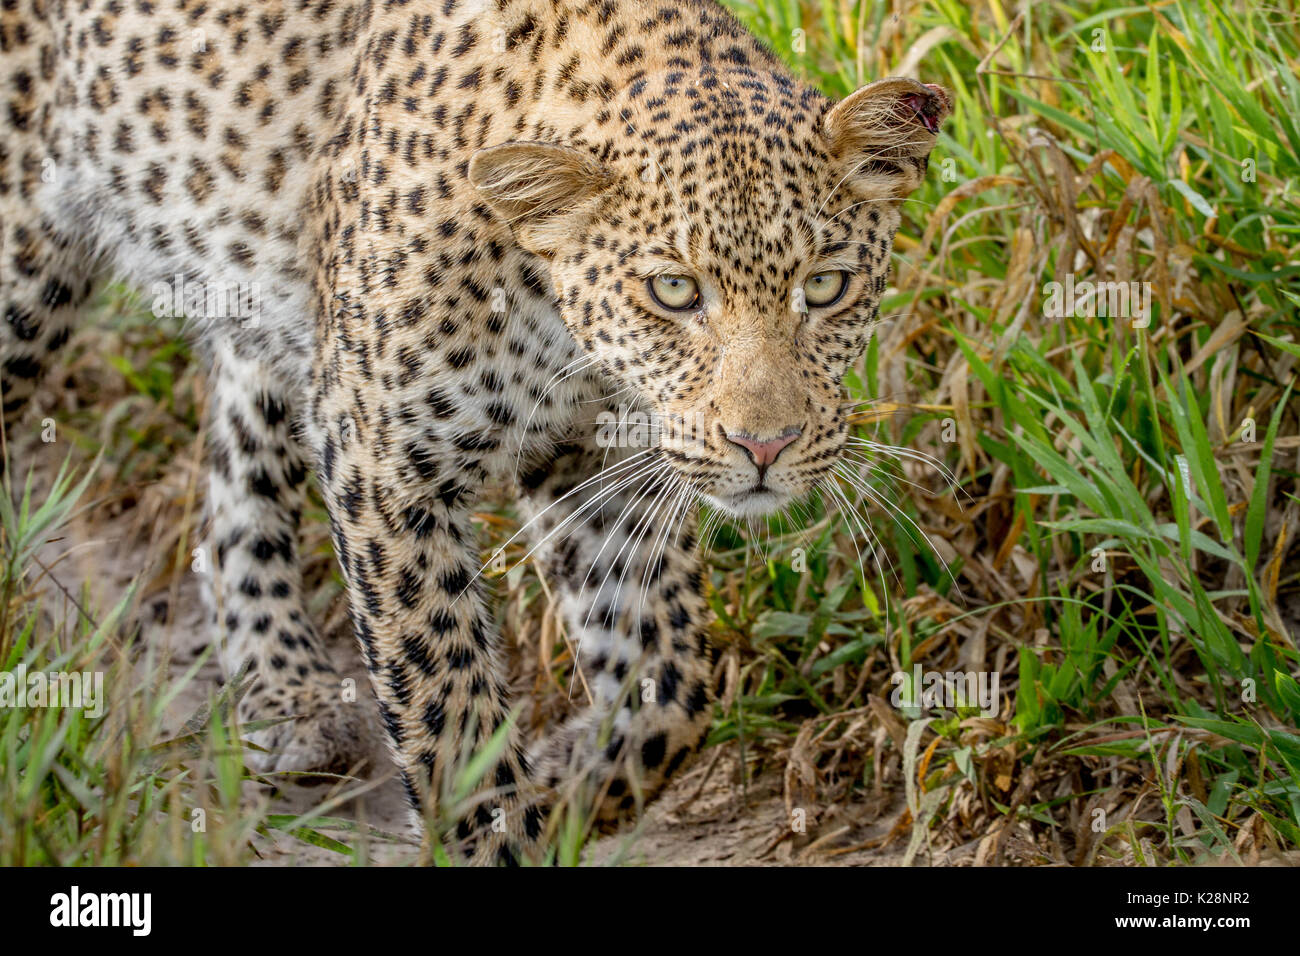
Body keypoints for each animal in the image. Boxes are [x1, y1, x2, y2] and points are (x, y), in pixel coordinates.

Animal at [0, 0, 949, 863]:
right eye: (674, 291)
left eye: (825, 286)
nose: (765, 447)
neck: (556, 320)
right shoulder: (383, 463)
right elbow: (446, 707)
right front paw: (504, 822)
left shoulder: (590, 461)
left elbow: (672, 684)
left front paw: (567, 784)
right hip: (27, 266)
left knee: (239, 465)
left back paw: (287, 690)